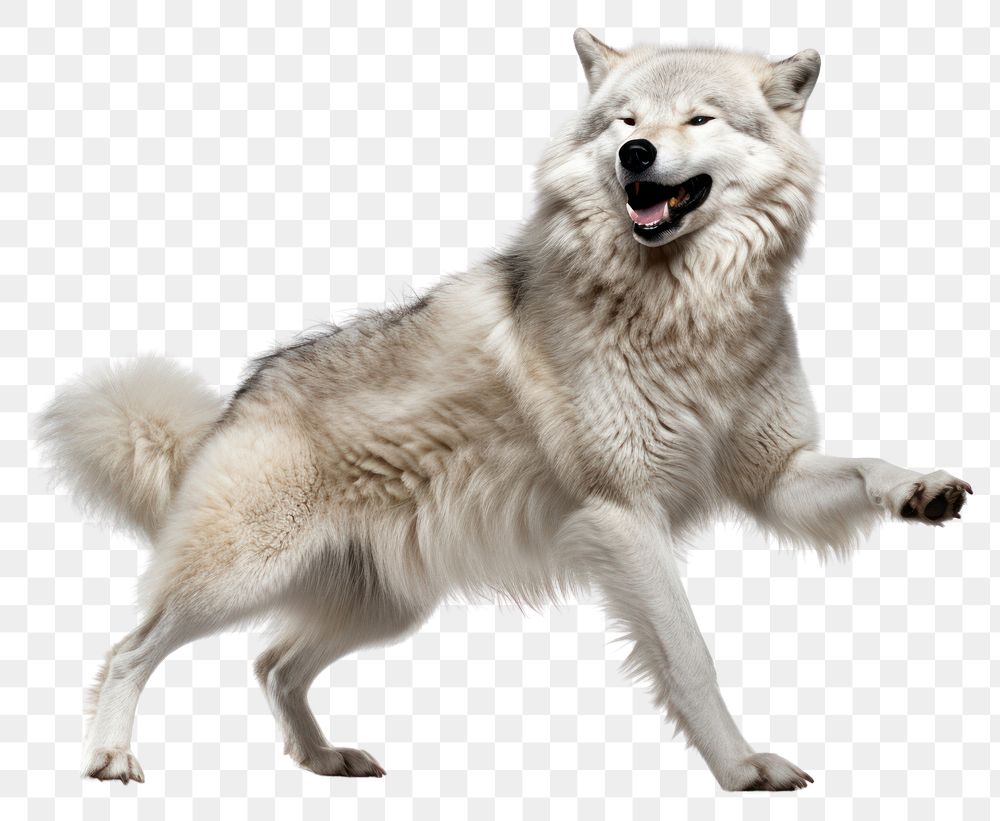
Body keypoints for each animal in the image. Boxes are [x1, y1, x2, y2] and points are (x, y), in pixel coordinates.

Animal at [38, 29, 971, 790]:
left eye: (700, 119)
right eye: (624, 120)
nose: (638, 154)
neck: (688, 311)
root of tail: (236, 400)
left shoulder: (772, 476)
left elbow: (866, 465)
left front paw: (922, 488)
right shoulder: (624, 513)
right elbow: (691, 656)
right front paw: (742, 769)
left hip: (385, 608)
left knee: (271, 663)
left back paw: (325, 758)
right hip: (237, 580)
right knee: (130, 648)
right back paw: (110, 756)